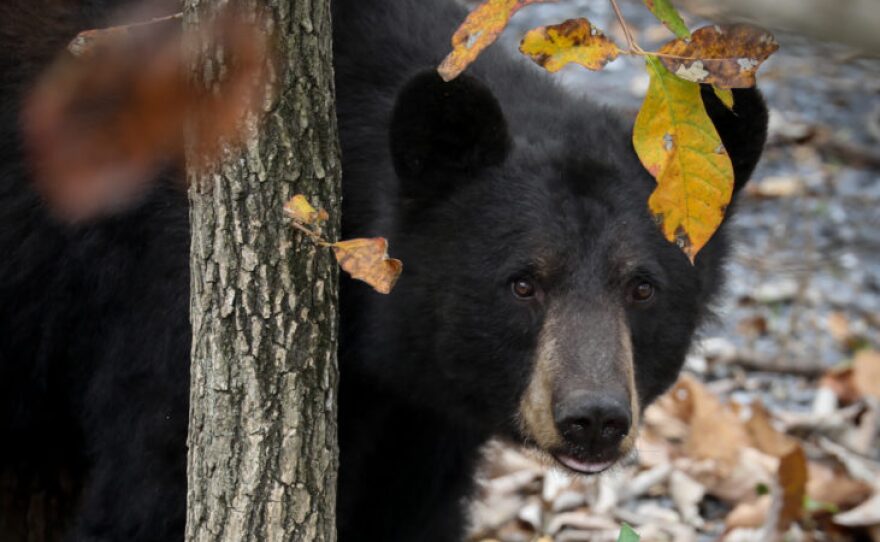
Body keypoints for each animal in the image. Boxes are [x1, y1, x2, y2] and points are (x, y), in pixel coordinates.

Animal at [0, 0, 768, 540]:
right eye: (522, 282)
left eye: (642, 288)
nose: (594, 419)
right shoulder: (163, 318)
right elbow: (148, 497)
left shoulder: (426, 413)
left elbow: (411, 515)